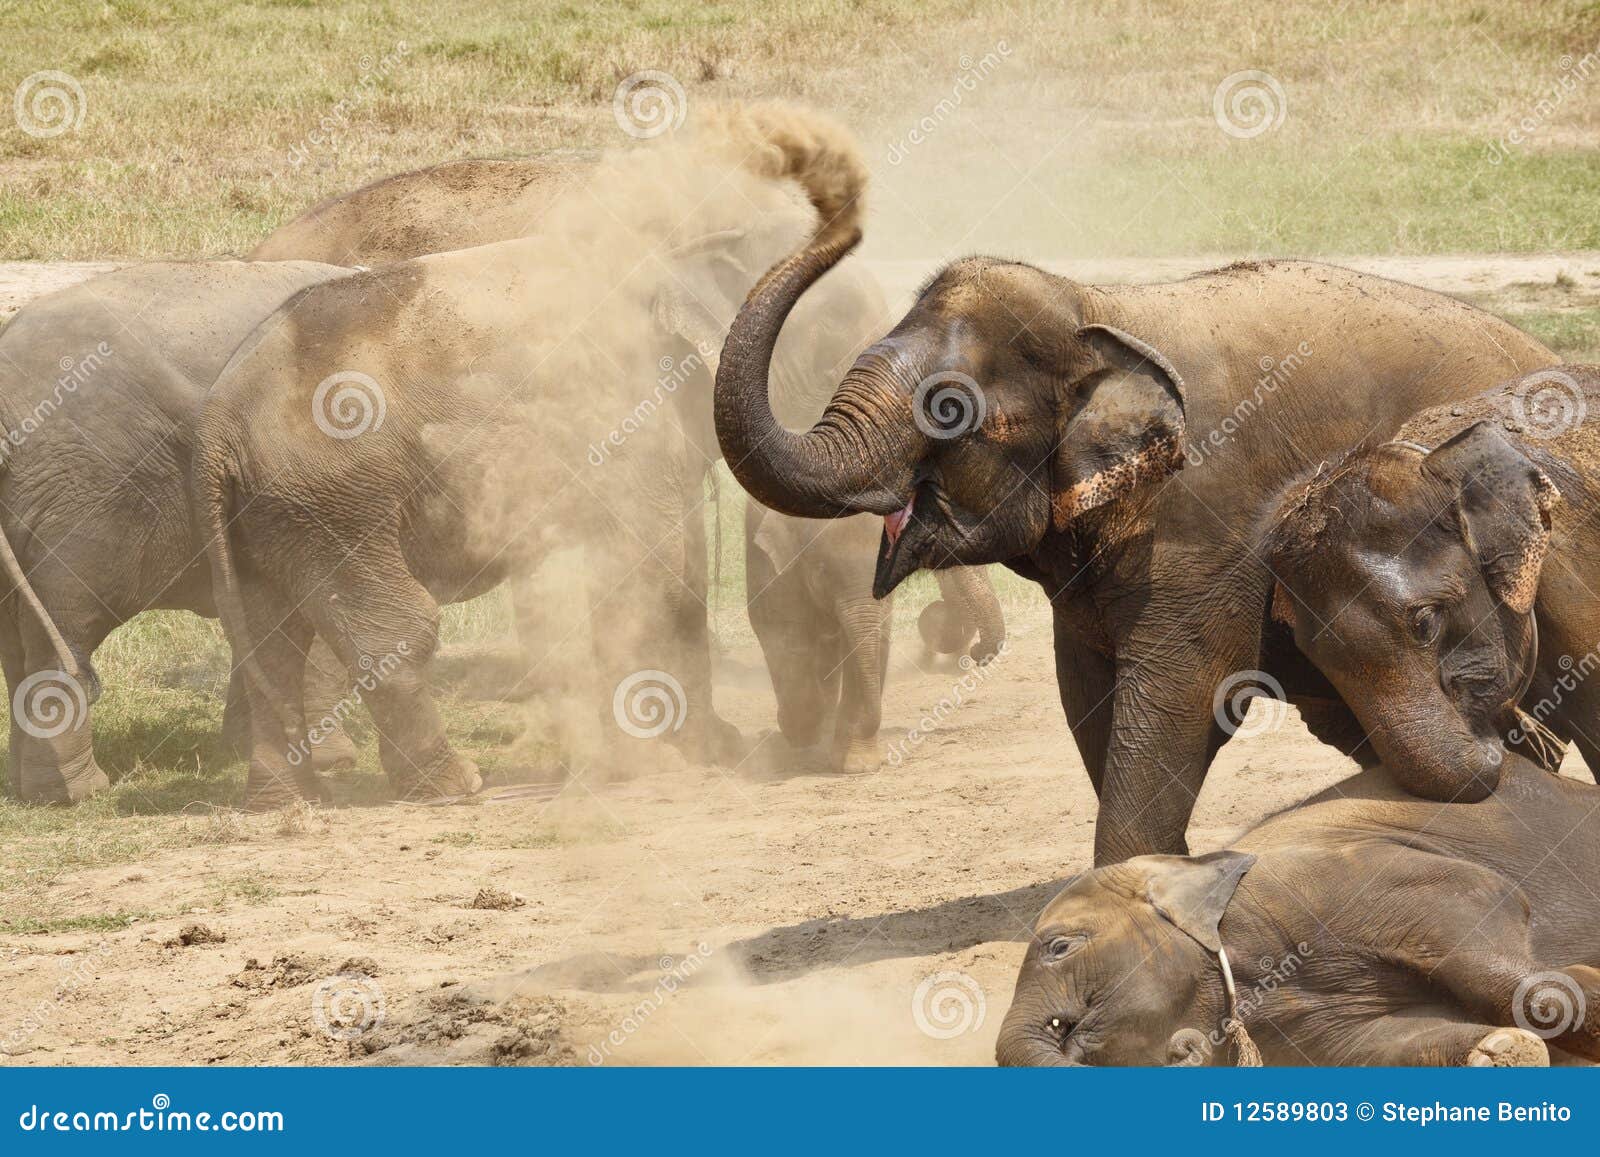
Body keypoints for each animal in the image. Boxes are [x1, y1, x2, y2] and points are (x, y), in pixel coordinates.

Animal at [0, 260, 360, 803]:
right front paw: (334, 762)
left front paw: (241, 751)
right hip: (83, 495)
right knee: (68, 624)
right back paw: (76, 794)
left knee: (16, 640)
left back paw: (28, 791)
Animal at [712, 146, 1558, 865]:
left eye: (948, 409)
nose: (827, 183)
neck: (1094, 308)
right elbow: (1087, 688)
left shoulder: (1203, 527)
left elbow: (1184, 685)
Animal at [995, 754, 1600, 1067]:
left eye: (1059, 947)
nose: (1185, 1047)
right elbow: (1380, 1046)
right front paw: (1502, 1051)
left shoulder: (1354, 877)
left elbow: (1497, 915)